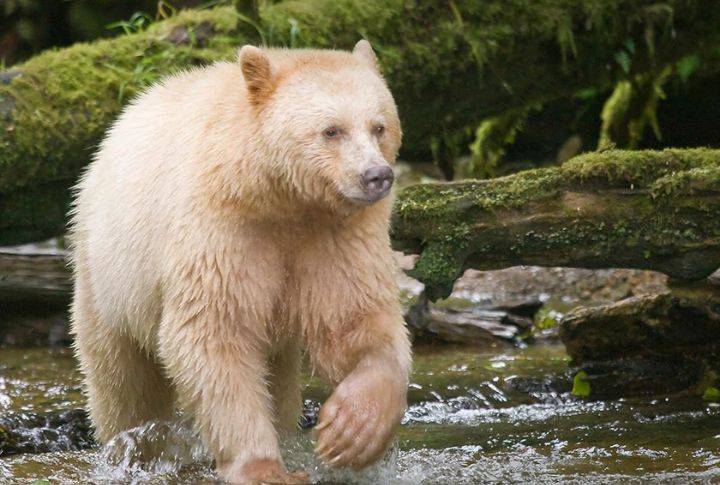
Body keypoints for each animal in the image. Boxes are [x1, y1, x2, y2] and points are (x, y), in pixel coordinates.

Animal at [69, 39, 411, 485]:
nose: (376, 175)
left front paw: (351, 429)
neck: (279, 197)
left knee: (279, 383)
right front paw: (264, 468)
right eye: (331, 130)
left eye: (379, 126)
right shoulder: (222, 228)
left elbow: (354, 318)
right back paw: (133, 448)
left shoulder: (336, 236)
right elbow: (214, 333)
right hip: (108, 275)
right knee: (123, 380)